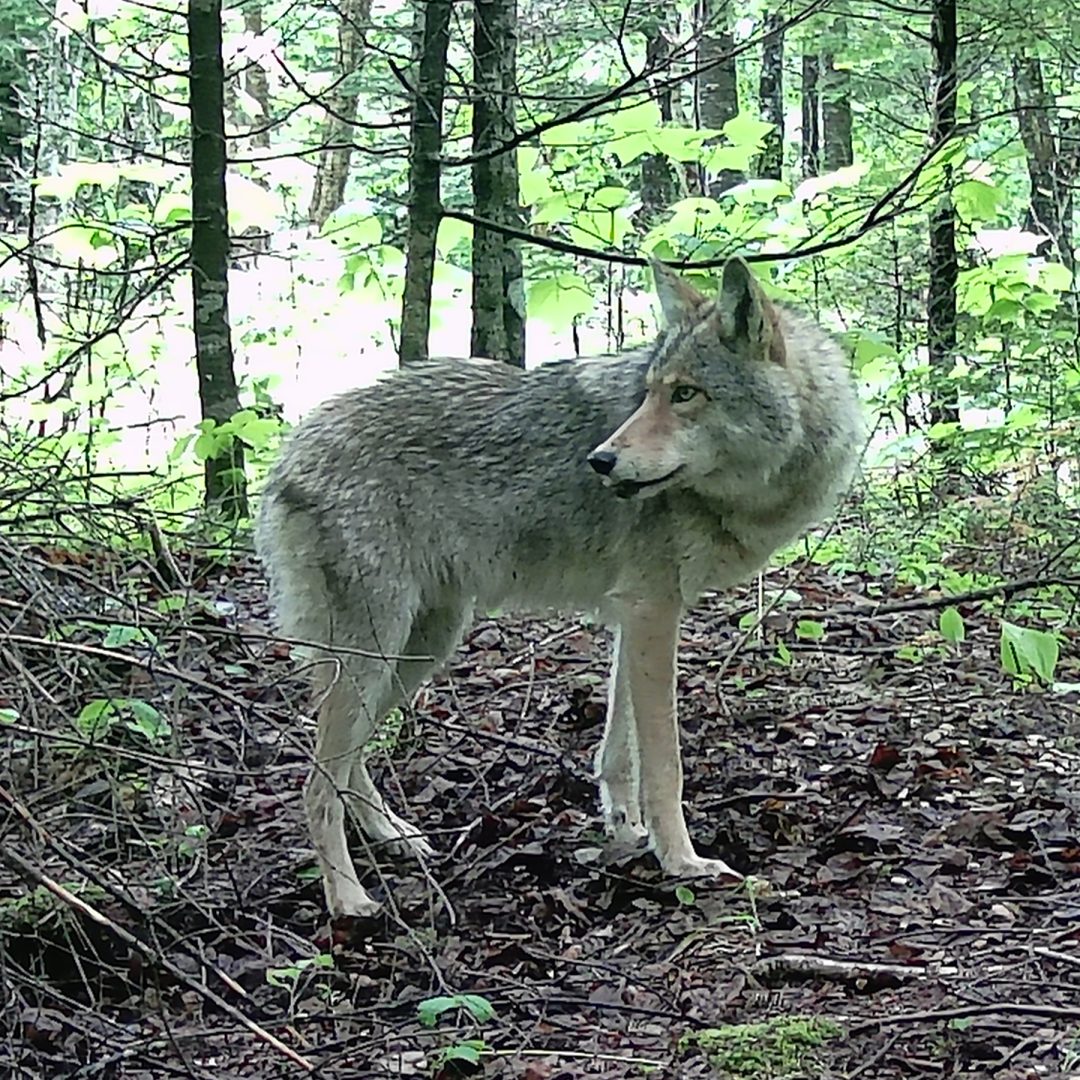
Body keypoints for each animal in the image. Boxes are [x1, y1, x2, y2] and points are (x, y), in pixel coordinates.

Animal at [256, 258, 863, 919]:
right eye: (653, 391)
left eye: (684, 394)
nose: (599, 462)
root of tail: (286, 454)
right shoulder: (654, 612)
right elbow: (664, 764)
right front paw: (682, 862)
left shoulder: (637, 614)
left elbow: (619, 752)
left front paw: (627, 832)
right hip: (378, 650)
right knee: (315, 779)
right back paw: (348, 898)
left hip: (419, 648)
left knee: (348, 761)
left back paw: (395, 836)